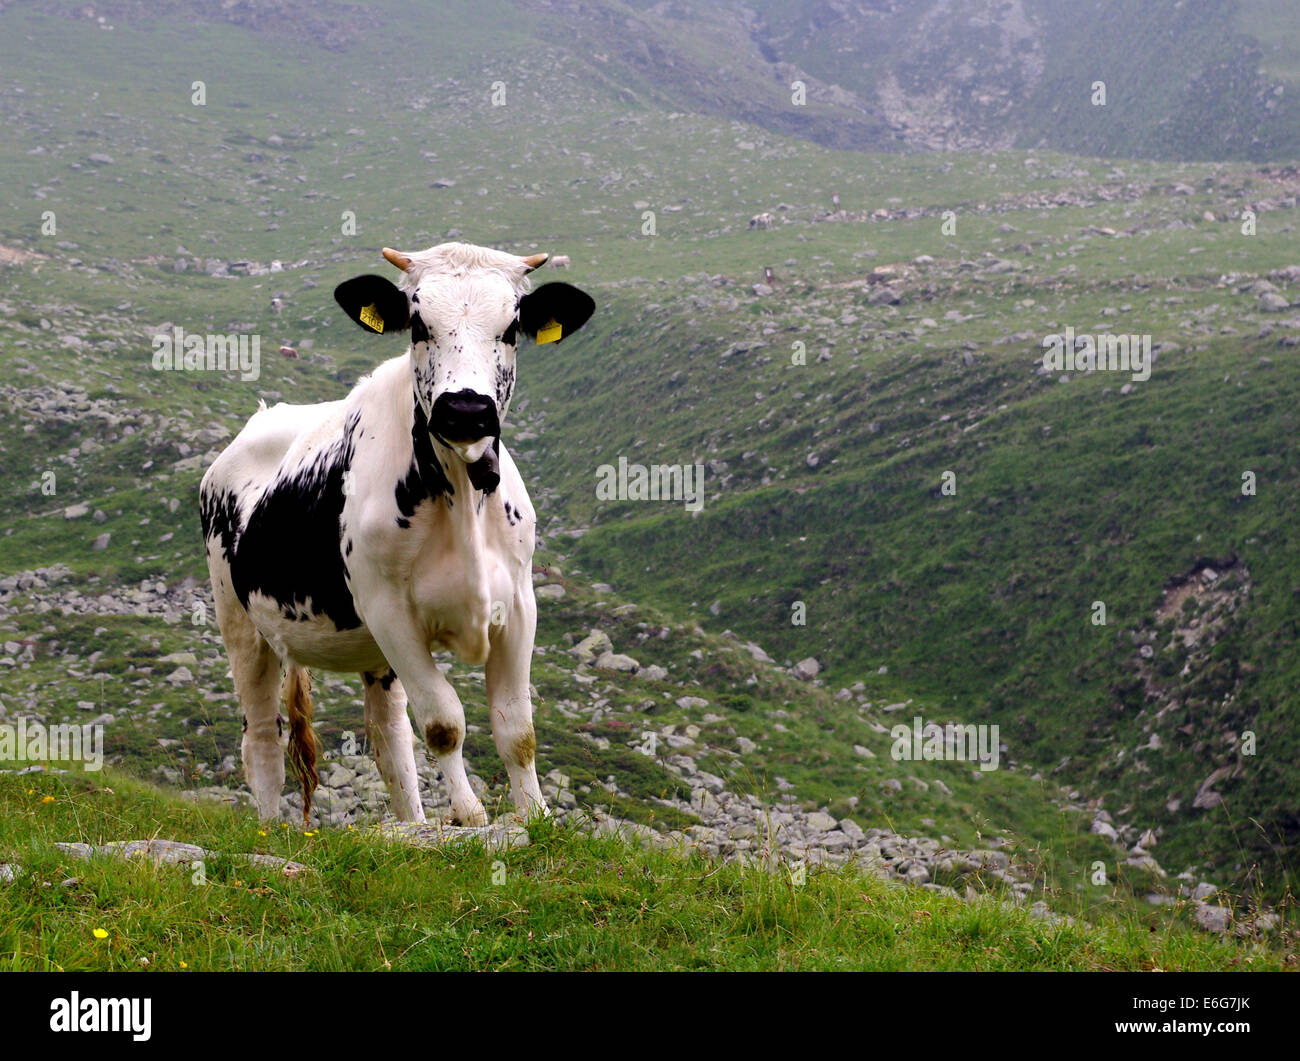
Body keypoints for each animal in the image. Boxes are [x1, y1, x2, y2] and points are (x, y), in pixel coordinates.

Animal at [200, 241, 595, 827]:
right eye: (418, 324)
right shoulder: (389, 612)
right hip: (241, 623)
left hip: (370, 655)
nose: (465, 408)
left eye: (511, 327)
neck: (462, 498)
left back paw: (412, 821)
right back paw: (271, 829)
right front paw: (471, 817)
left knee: (388, 738)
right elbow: (444, 723)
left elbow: (516, 730)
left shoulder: (520, 605)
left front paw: (538, 817)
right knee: (263, 739)